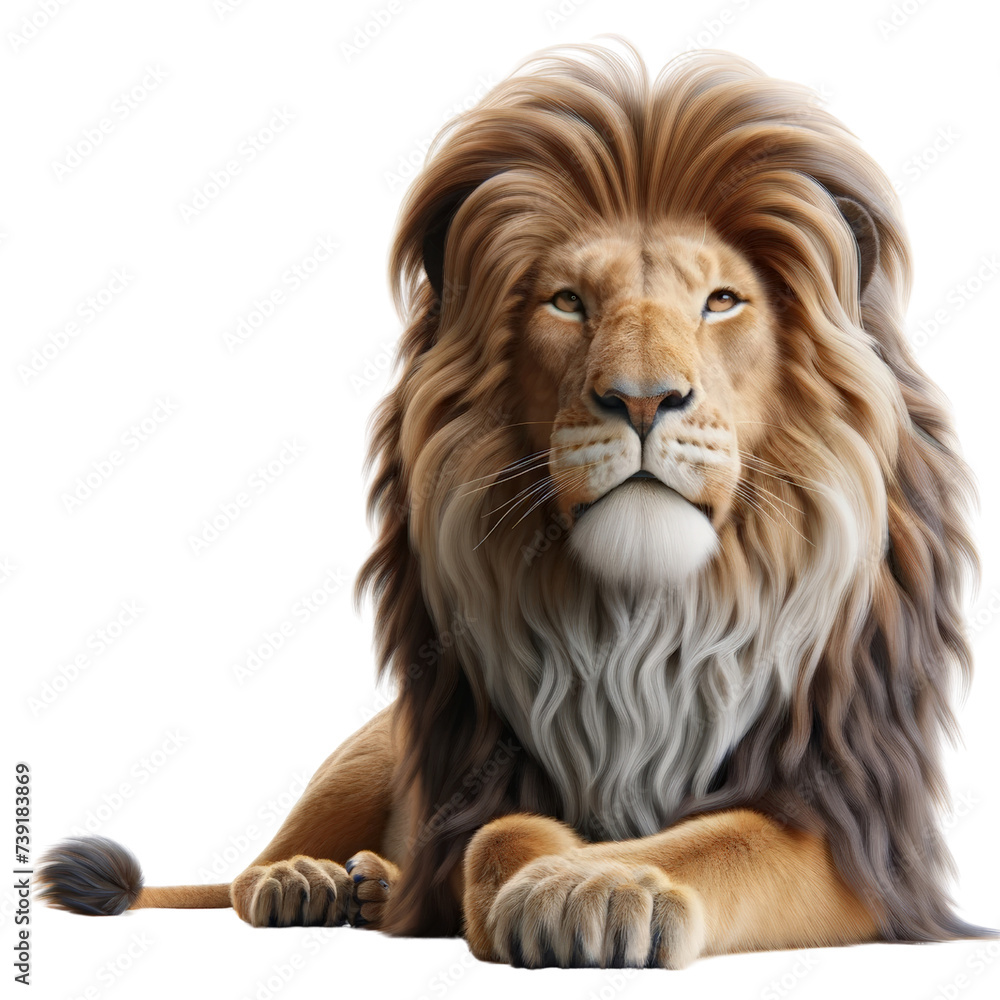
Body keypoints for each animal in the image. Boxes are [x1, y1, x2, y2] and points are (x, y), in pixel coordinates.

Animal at [39, 40, 990, 968]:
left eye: (721, 301)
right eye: (568, 302)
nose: (642, 400)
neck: (646, 629)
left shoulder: (851, 830)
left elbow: (720, 840)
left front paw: (602, 883)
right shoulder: (481, 776)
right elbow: (494, 835)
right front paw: (542, 883)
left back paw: (374, 884)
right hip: (365, 756)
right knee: (252, 867)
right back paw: (305, 879)